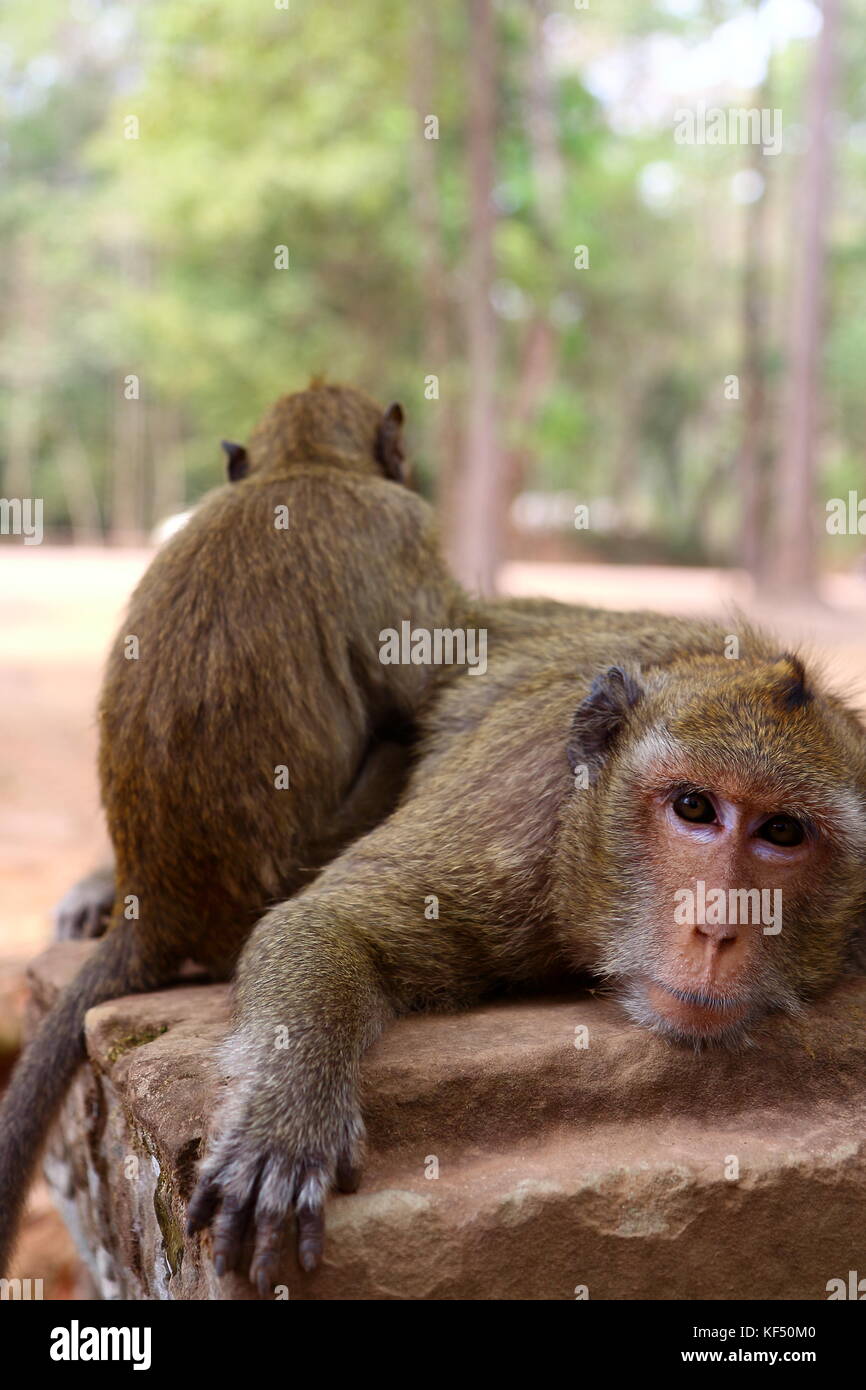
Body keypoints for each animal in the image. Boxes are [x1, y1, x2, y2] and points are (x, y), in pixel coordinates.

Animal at [183, 608, 866, 1293]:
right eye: (694, 807)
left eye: (783, 831)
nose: (718, 926)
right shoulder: (518, 809)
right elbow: (329, 919)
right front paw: (287, 1119)